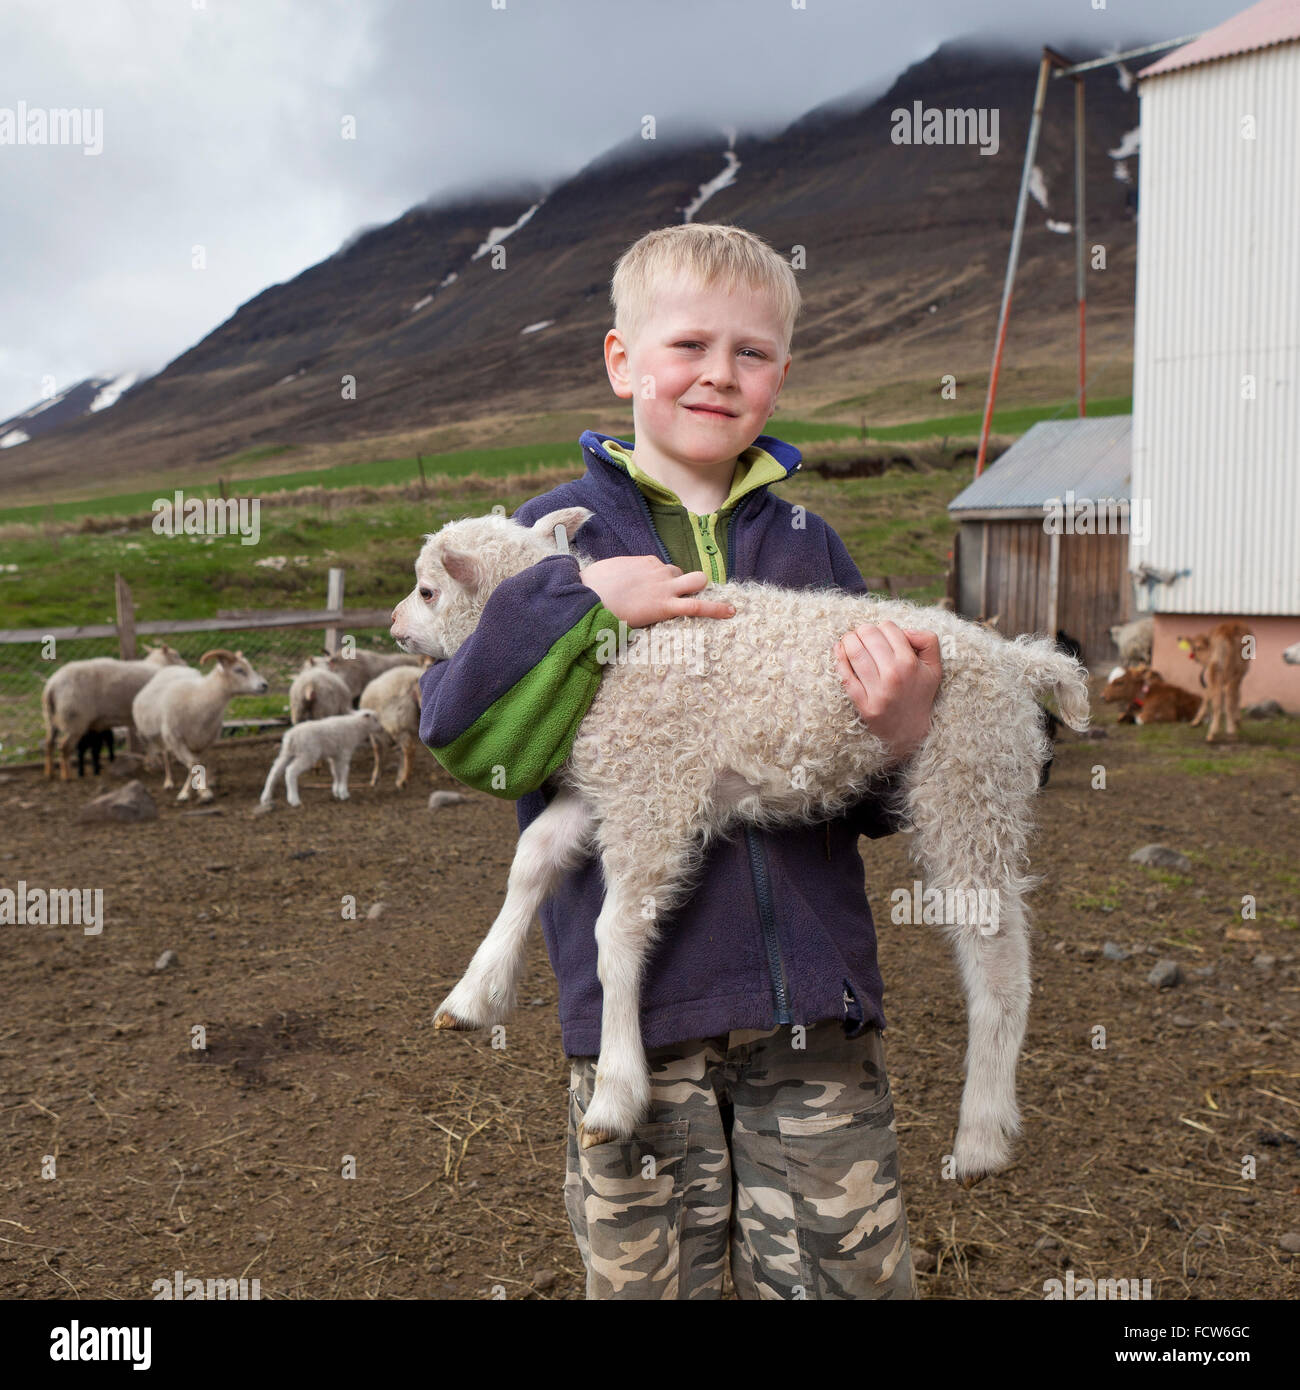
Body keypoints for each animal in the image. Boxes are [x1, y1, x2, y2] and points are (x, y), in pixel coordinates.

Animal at [42, 644, 187, 781]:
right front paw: (154, 763)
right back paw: (66, 776)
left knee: (49, 743)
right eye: (176, 655)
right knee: (64, 747)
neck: (159, 664)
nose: (186, 665)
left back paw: (49, 773)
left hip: (51, 718)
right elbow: (150, 742)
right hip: (74, 719)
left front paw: (150, 763)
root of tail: (52, 686)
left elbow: (145, 741)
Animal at [131, 649, 268, 801]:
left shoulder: (205, 740)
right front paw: (187, 793)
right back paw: (168, 781)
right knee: (166, 754)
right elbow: (192, 764)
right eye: (239, 670)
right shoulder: (176, 740)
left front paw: (203, 788)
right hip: (163, 734)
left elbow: (200, 763)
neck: (199, 700)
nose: (264, 685)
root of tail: (171, 668)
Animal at [391, 508, 1091, 1186]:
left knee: (998, 953)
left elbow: (615, 935)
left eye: (428, 591)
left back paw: (980, 1138)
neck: (605, 654)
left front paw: (616, 1095)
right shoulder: (608, 782)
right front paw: (472, 996)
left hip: (969, 776)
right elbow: (532, 860)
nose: (395, 625)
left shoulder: (653, 790)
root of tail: (1016, 660)